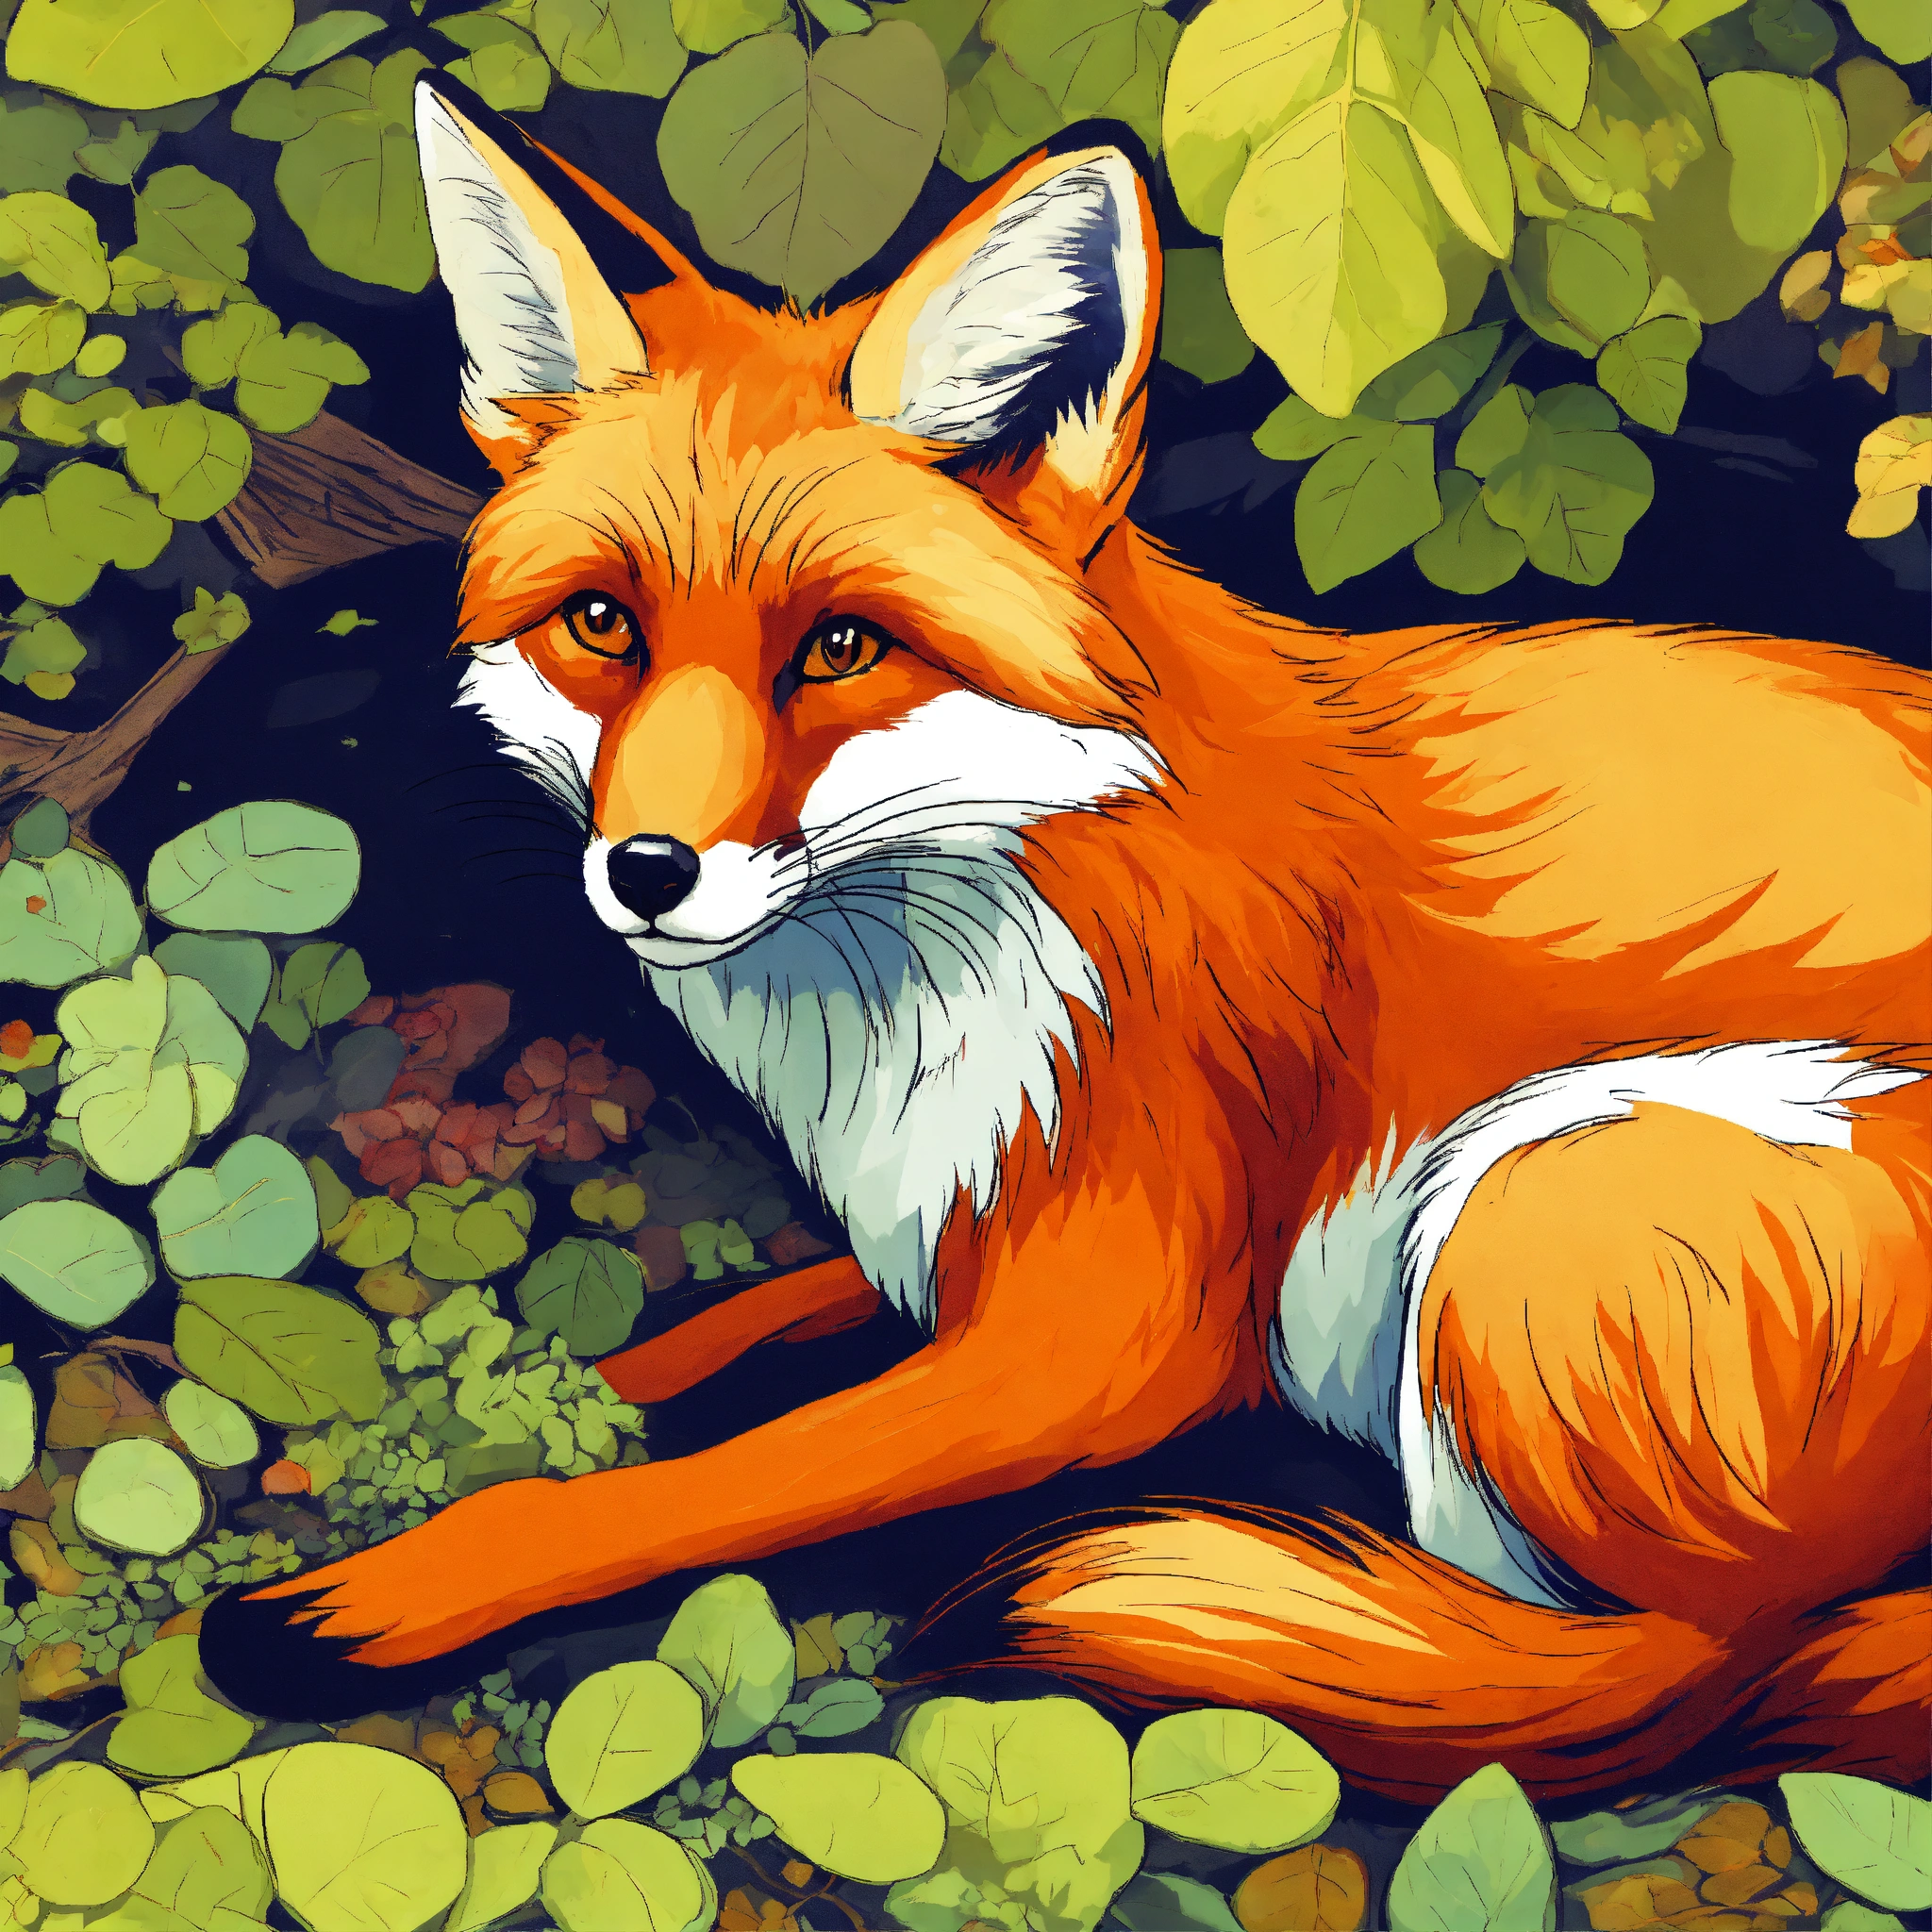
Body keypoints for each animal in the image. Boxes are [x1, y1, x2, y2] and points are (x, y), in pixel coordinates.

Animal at [208, 72, 1932, 1803]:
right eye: (601, 625)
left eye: (841, 646)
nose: (647, 871)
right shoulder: (959, 1214)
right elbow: (721, 1335)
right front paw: (503, 1397)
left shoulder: (1110, 1328)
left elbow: (682, 1485)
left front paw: (388, 1581)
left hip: (1530, 1202)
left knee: (1651, 1674)